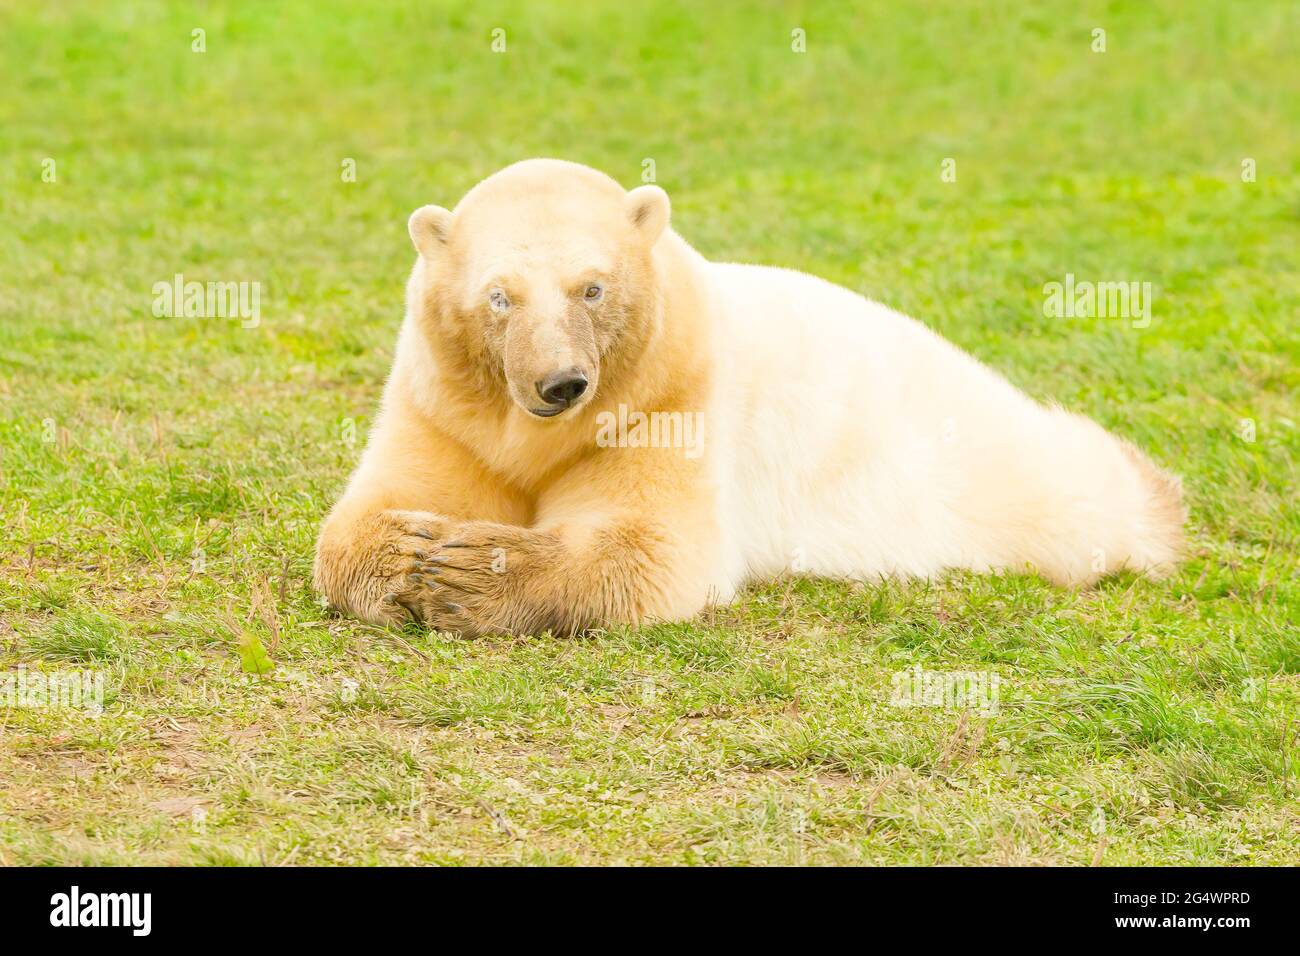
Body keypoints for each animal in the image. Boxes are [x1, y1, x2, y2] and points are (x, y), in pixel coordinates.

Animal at [313, 158, 1185, 635]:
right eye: (499, 296)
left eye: (592, 287)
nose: (560, 383)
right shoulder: (444, 406)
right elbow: (363, 519)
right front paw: (415, 552)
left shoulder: (669, 398)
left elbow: (655, 549)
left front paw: (467, 570)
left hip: (982, 467)